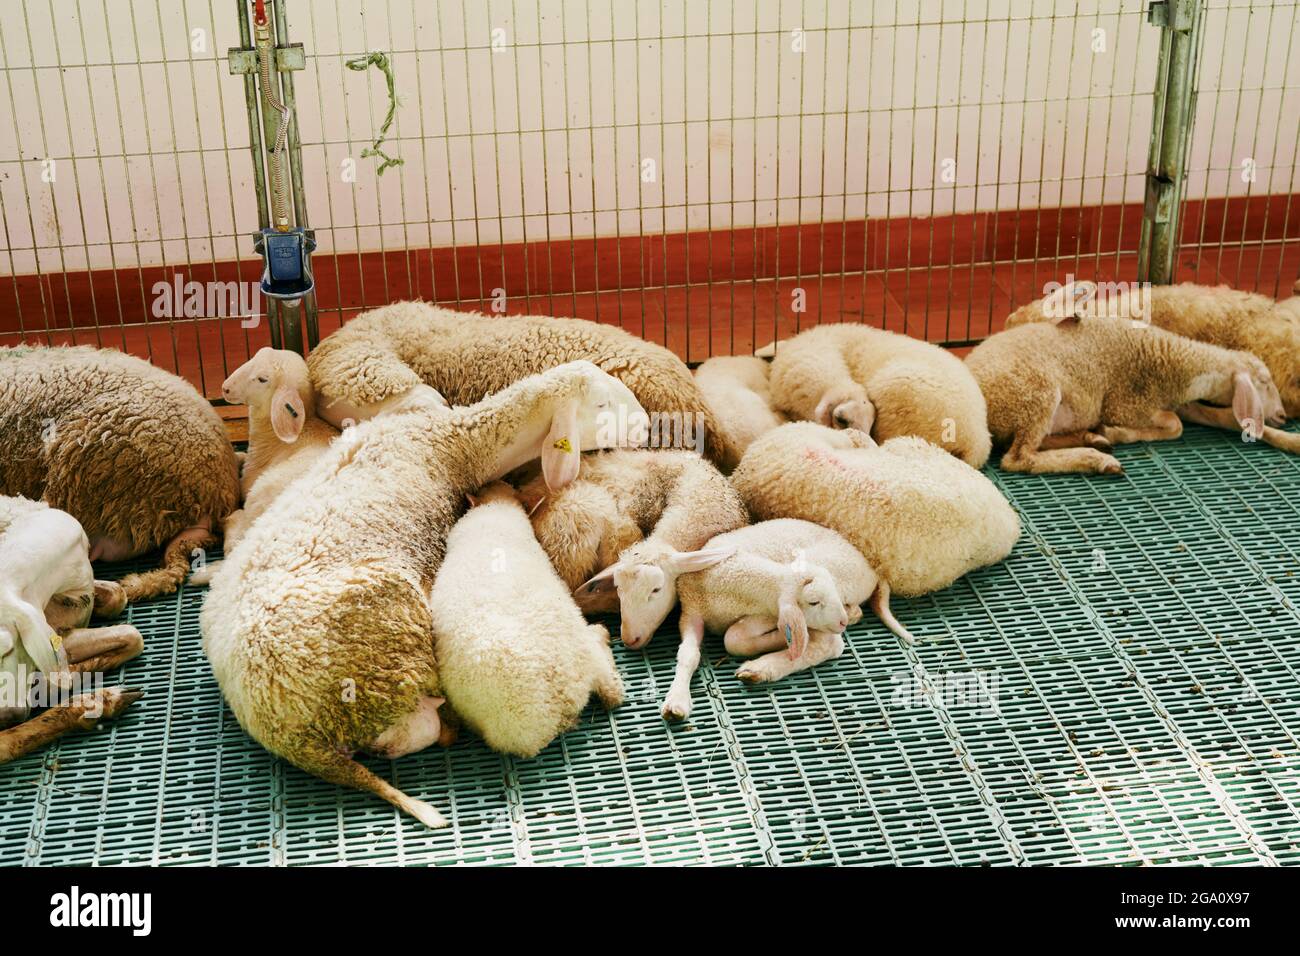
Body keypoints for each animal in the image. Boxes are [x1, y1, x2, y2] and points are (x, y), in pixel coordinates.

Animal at [650, 518, 877, 719]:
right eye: (813, 602)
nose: (842, 622)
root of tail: (870, 571)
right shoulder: (691, 612)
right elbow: (688, 654)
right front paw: (676, 701)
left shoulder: (766, 613)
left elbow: (734, 638)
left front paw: (780, 640)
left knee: (830, 644)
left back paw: (760, 668)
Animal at [969, 281, 1287, 473]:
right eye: (1264, 382)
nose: (1283, 415)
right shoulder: (1127, 405)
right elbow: (1175, 425)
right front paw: (1119, 433)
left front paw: (1109, 433)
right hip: (1035, 395)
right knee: (1018, 458)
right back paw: (1096, 459)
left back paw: (1092, 439)